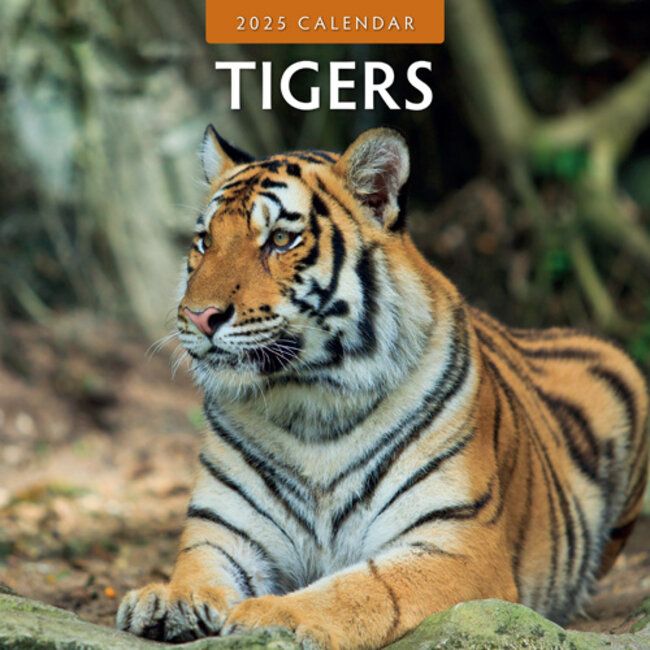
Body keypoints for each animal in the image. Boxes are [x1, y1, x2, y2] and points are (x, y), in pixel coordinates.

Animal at [117, 126, 649, 649]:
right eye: (204, 241)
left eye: (281, 239)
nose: (198, 317)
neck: (309, 402)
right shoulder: (224, 530)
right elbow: (199, 569)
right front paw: (164, 599)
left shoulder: (456, 544)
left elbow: (360, 588)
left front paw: (272, 614)